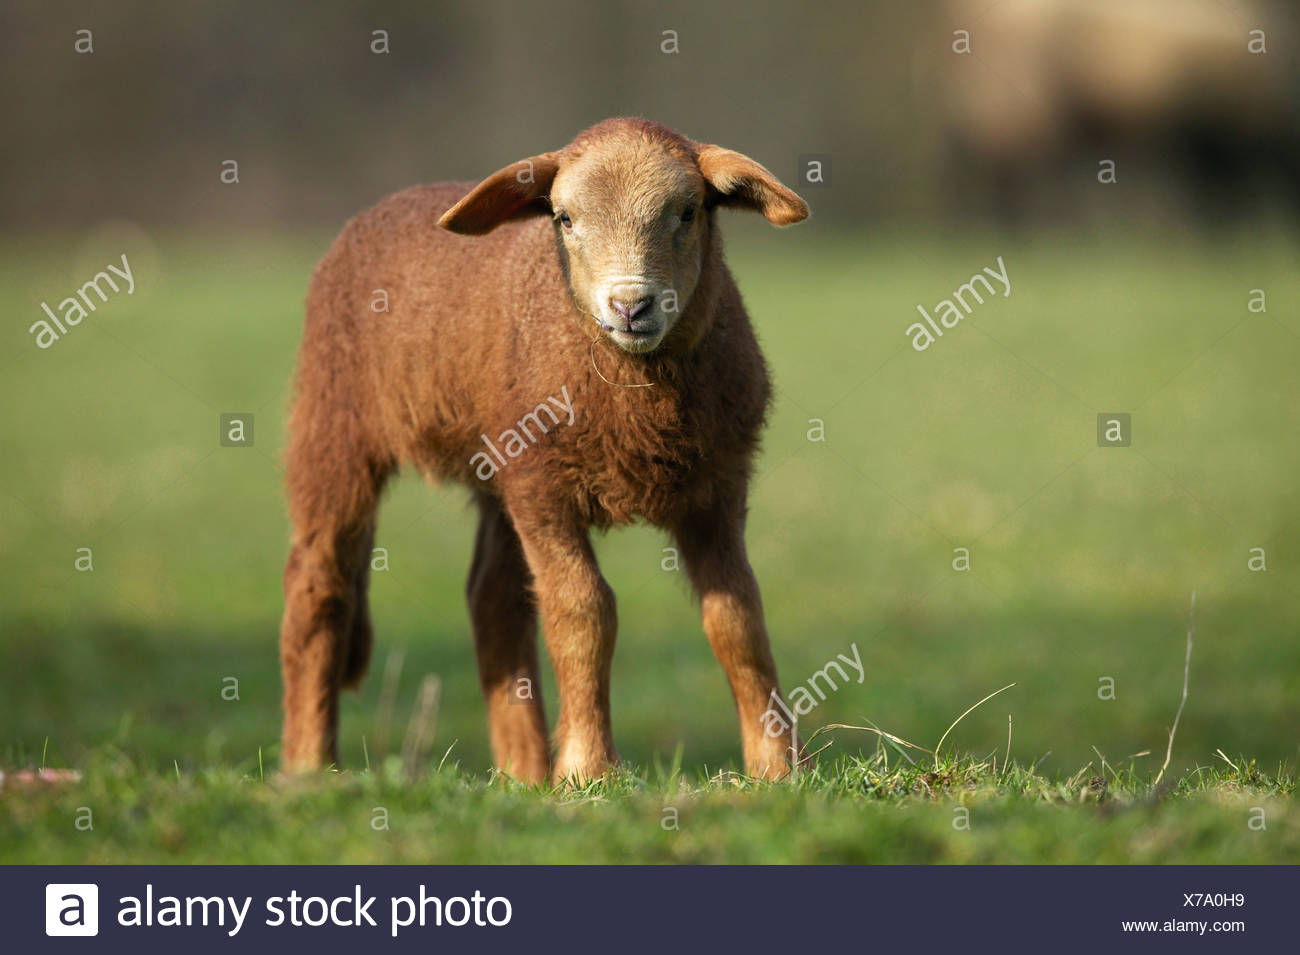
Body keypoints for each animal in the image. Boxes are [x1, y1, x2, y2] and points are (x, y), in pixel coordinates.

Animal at [279, 117, 810, 784]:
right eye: (563, 218)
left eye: (688, 211)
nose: (630, 306)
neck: (638, 398)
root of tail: (385, 205)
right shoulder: (544, 488)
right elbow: (584, 612)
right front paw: (588, 768)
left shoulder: (717, 490)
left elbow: (737, 618)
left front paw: (777, 766)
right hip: (334, 424)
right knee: (318, 583)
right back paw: (309, 766)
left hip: (499, 465)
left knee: (494, 599)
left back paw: (522, 772)